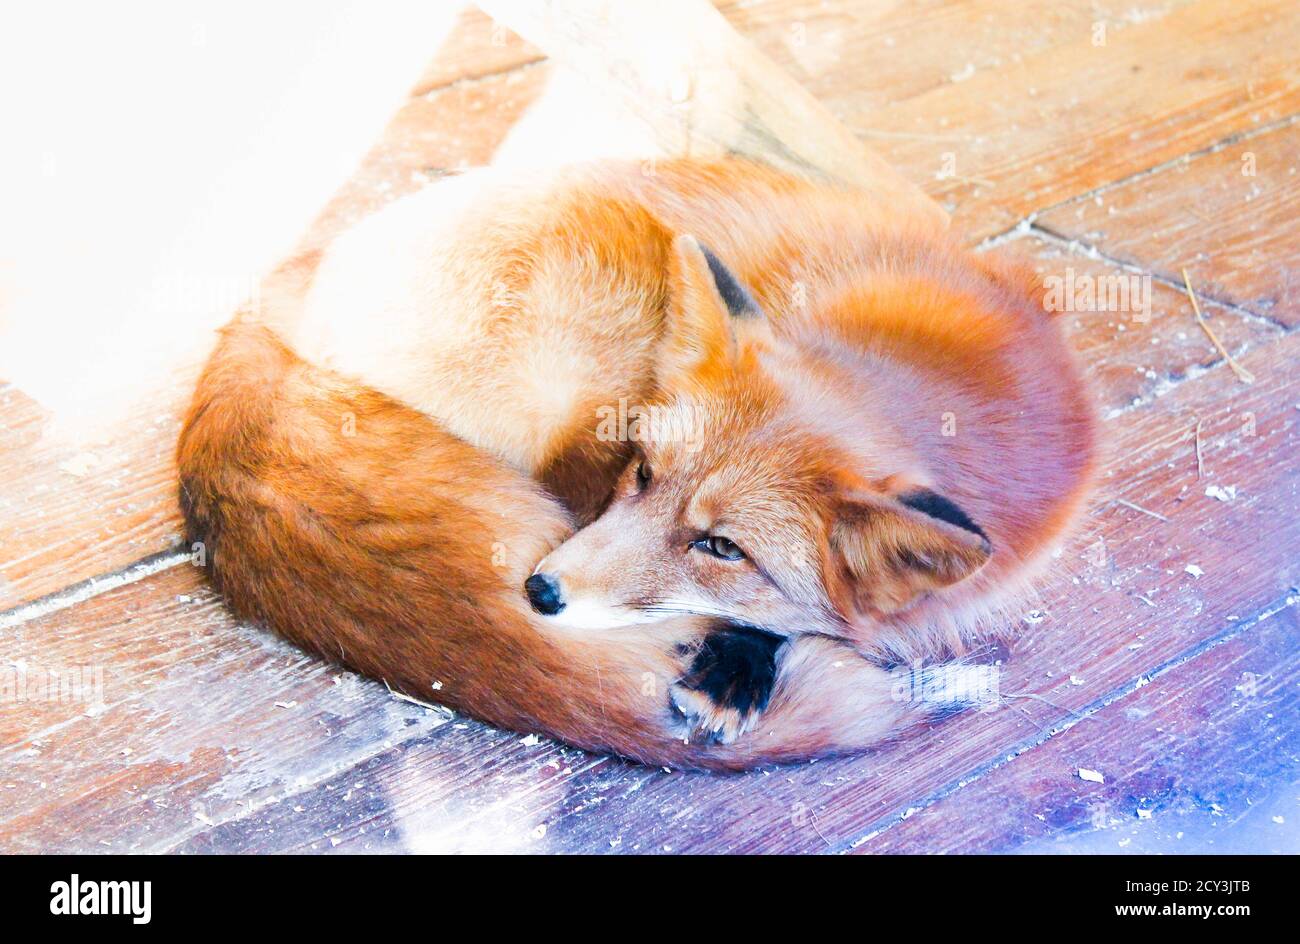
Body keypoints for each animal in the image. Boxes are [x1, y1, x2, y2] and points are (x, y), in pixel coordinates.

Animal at [177, 157, 1097, 770]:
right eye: (644, 472)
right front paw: (736, 662)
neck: (959, 365)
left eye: (722, 547)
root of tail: (279, 294)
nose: (540, 592)